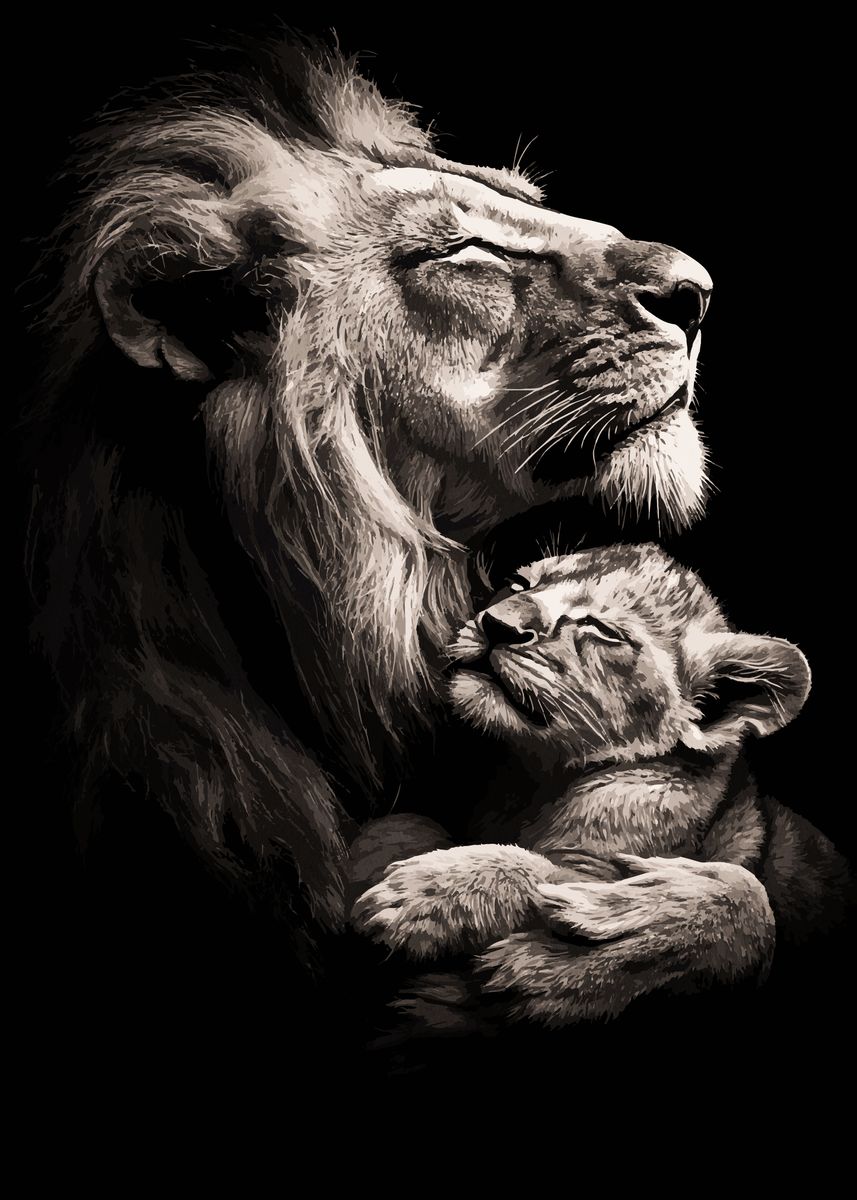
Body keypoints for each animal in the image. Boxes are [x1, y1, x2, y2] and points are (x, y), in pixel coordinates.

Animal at [350, 545, 852, 1029]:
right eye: (520, 584)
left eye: (601, 629)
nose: (497, 624)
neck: (533, 782)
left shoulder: (604, 866)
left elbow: (545, 876)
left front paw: (426, 896)